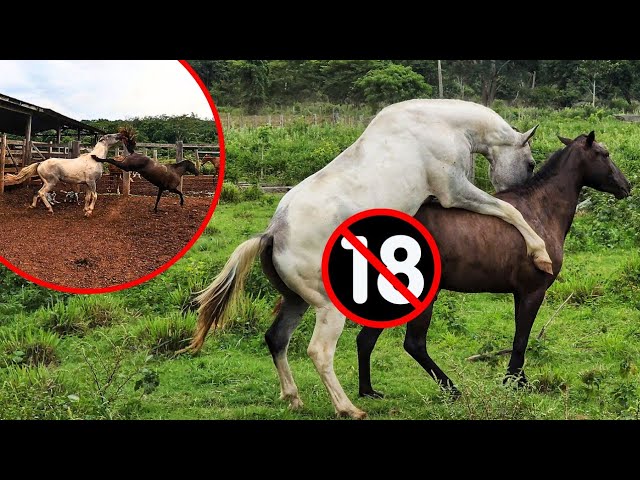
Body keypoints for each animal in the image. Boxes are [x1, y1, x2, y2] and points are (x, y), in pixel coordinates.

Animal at [182, 99, 550, 419]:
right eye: (531, 163)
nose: (520, 189)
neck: (442, 124)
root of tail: (274, 234)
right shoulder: (455, 191)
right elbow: (508, 211)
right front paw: (541, 254)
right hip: (327, 308)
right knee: (318, 352)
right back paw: (348, 408)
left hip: (296, 301)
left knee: (277, 339)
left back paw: (294, 398)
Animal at [356, 132, 631, 399]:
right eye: (604, 153)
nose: (626, 186)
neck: (540, 210)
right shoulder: (534, 291)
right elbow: (520, 340)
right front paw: (513, 383)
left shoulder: (521, 293)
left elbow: (520, 336)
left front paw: (519, 380)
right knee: (413, 343)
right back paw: (452, 390)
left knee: (365, 339)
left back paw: (368, 391)